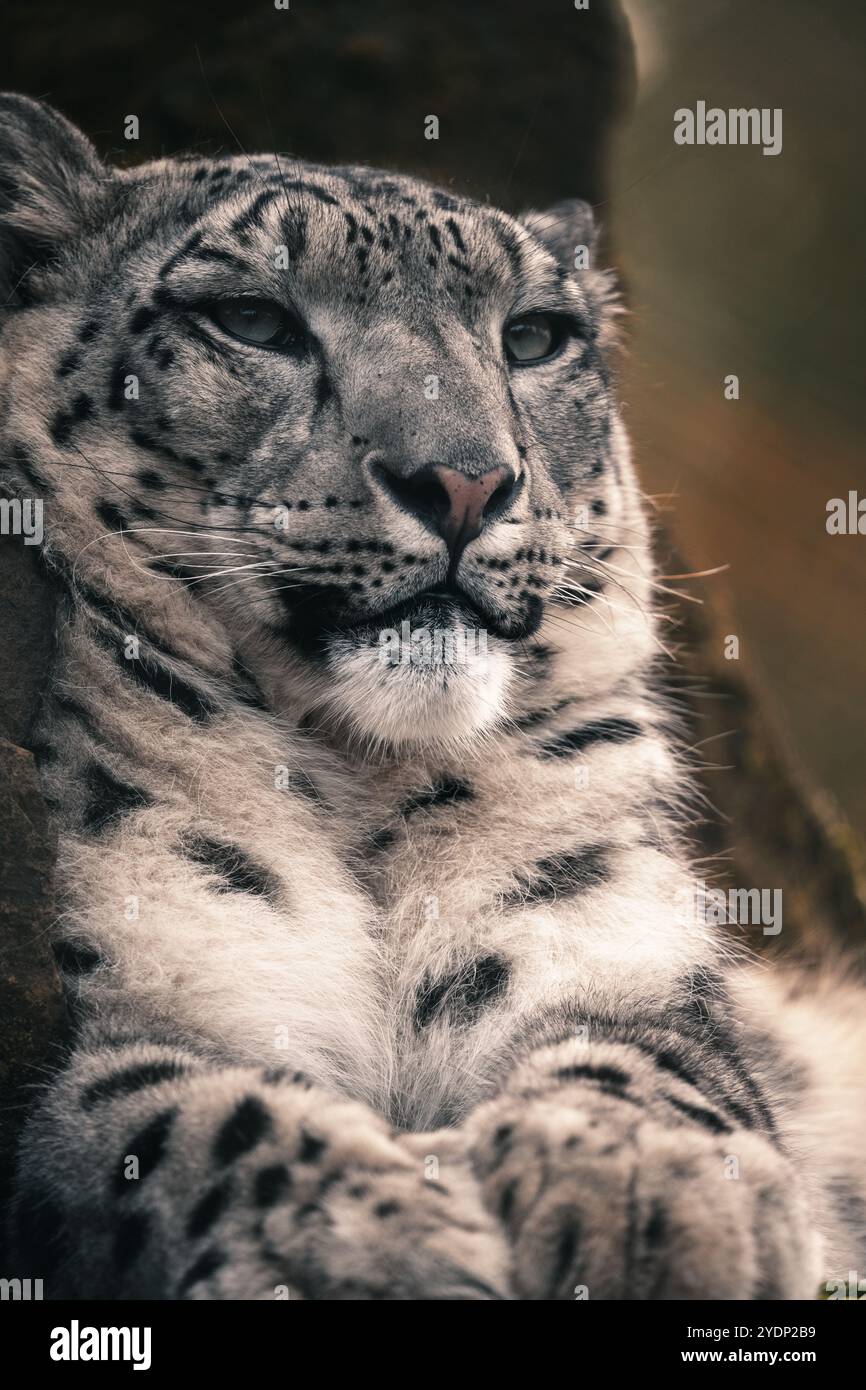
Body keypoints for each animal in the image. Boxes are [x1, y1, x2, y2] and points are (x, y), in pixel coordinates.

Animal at [1, 92, 864, 1300]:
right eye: (251, 320)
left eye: (533, 337)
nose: (464, 481)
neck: (359, 785)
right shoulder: (140, 993)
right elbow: (181, 1123)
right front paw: (363, 1242)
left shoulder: (609, 955)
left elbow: (654, 1073)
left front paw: (652, 1197)